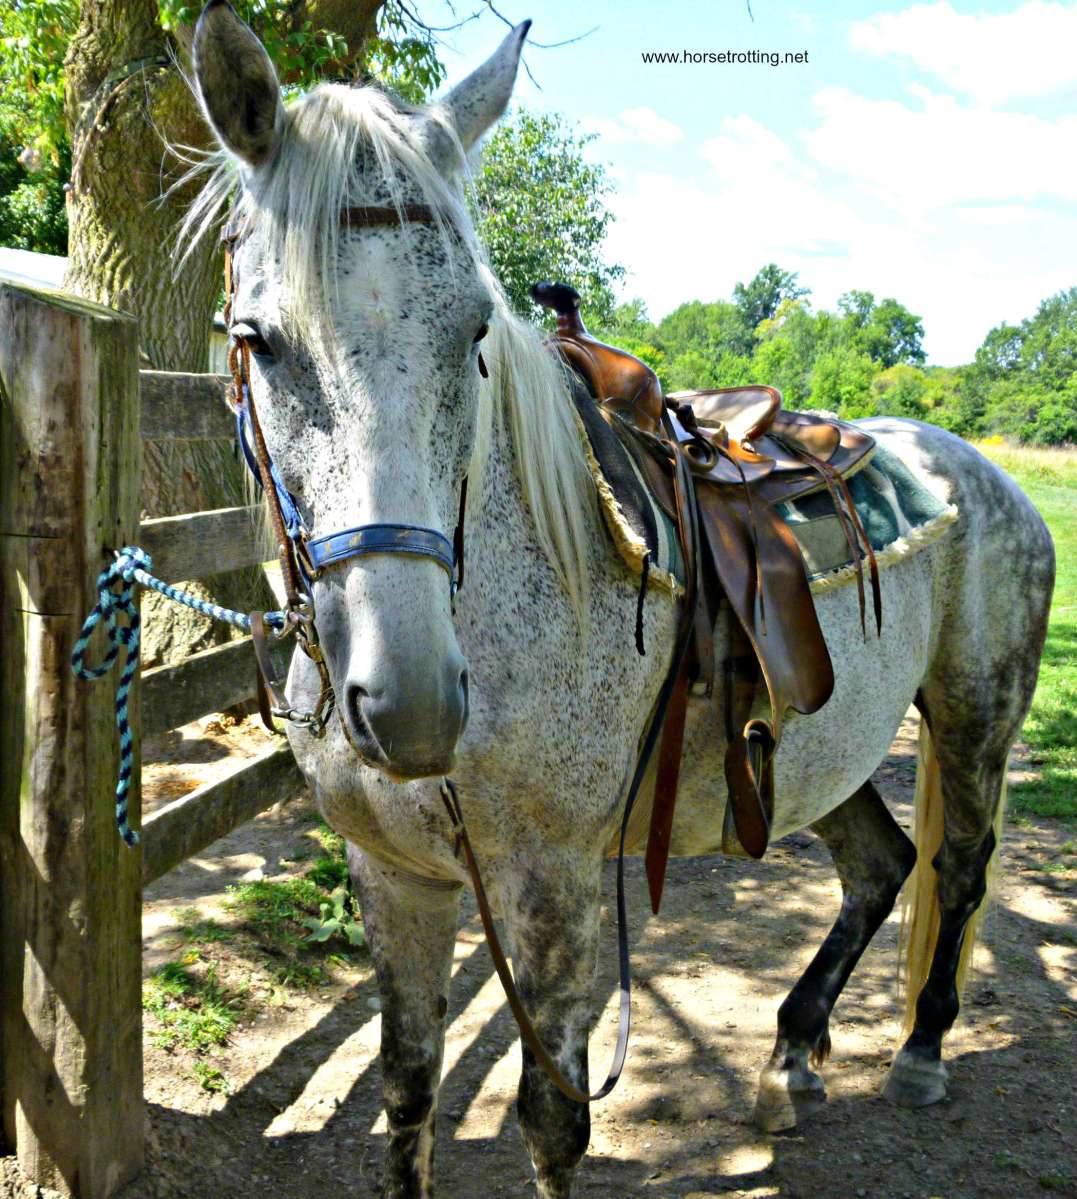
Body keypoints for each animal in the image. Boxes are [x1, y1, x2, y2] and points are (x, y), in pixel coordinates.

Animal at [185, 7, 1055, 1196]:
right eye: (257, 340)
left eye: (475, 334)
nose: (412, 703)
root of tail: (975, 467)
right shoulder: (394, 876)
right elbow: (406, 1089)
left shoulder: (553, 888)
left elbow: (552, 1116)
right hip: (818, 748)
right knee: (880, 867)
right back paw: (791, 1056)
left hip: (975, 717)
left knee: (957, 869)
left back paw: (918, 1050)